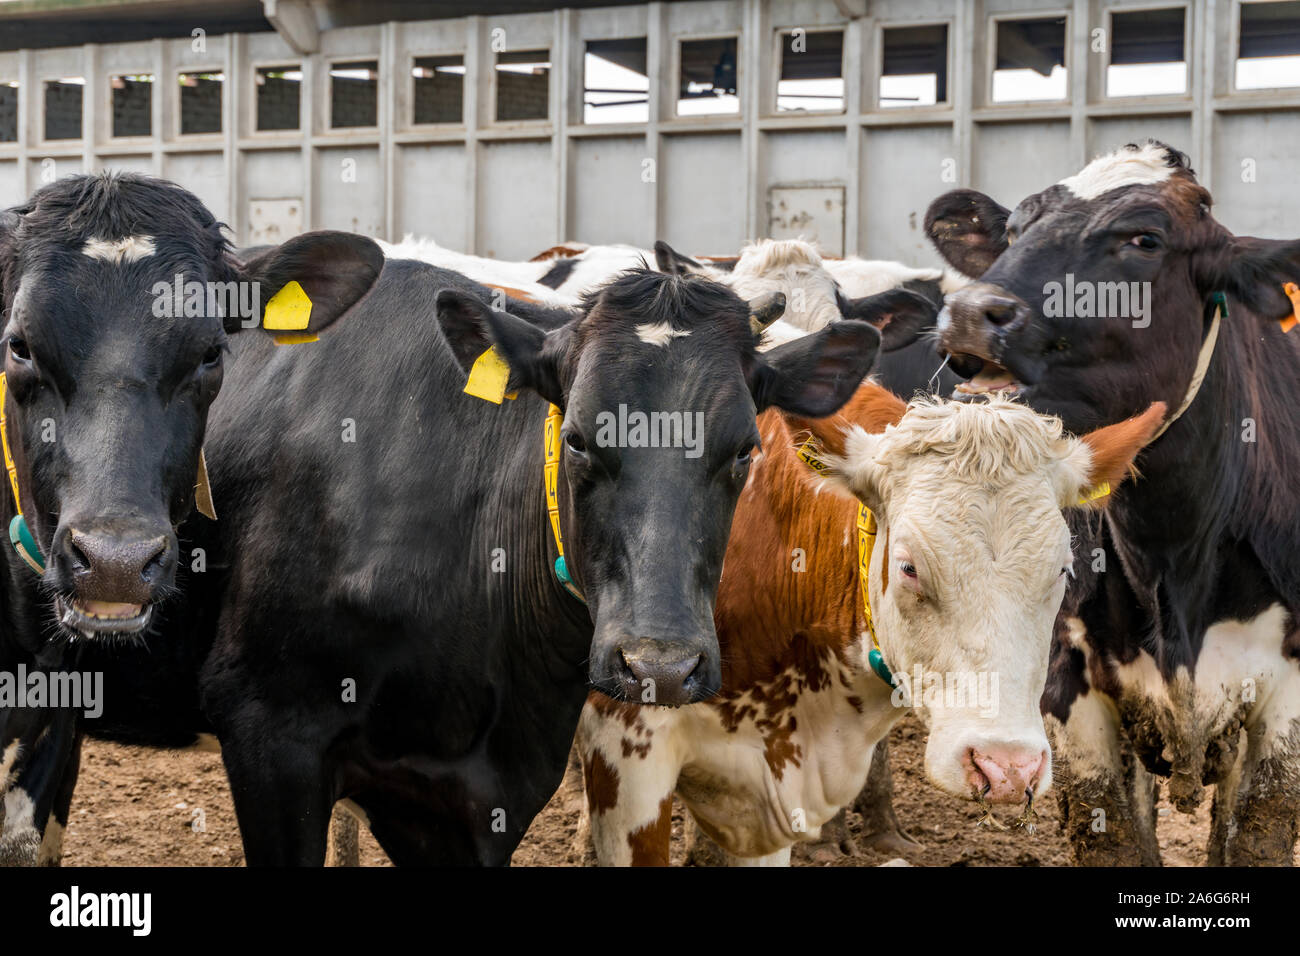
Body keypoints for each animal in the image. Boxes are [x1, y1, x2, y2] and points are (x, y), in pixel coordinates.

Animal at [928, 140, 1300, 866]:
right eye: (1015, 229)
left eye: (1144, 239)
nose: (969, 312)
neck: (1171, 547)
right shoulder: (1068, 678)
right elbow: (1119, 836)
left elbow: (1256, 833)